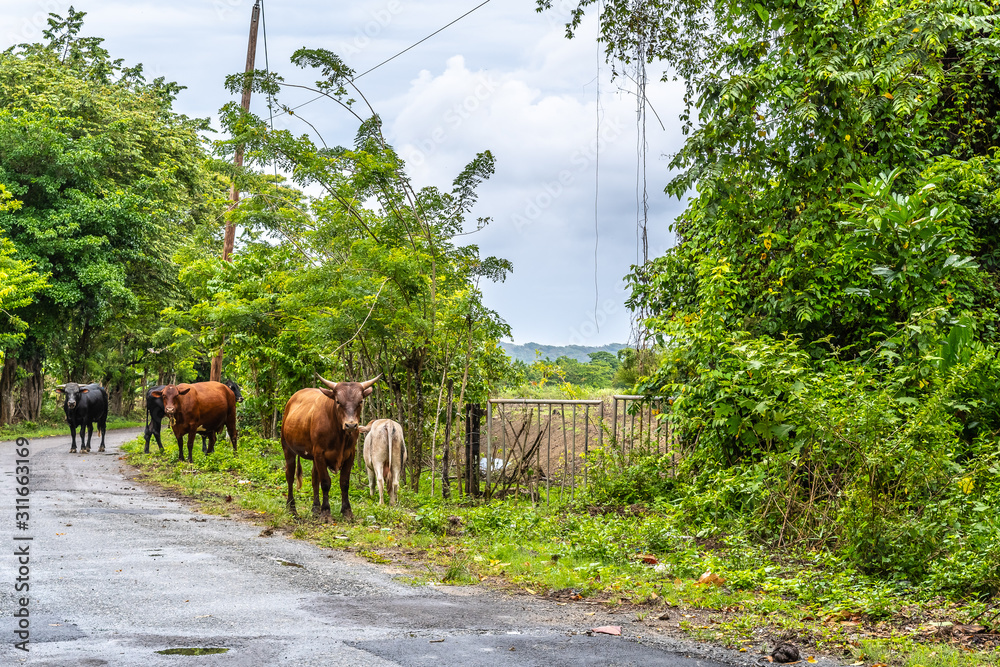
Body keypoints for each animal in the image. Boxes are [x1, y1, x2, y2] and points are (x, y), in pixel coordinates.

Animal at [280, 373, 379, 519]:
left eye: (360, 401)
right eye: (338, 402)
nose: (351, 425)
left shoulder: (350, 454)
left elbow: (344, 483)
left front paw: (347, 511)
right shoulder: (320, 453)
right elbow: (326, 483)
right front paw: (326, 512)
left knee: (314, 478)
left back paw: (315, 509)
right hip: (288, 449)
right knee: (290, 476)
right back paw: (292, 508)